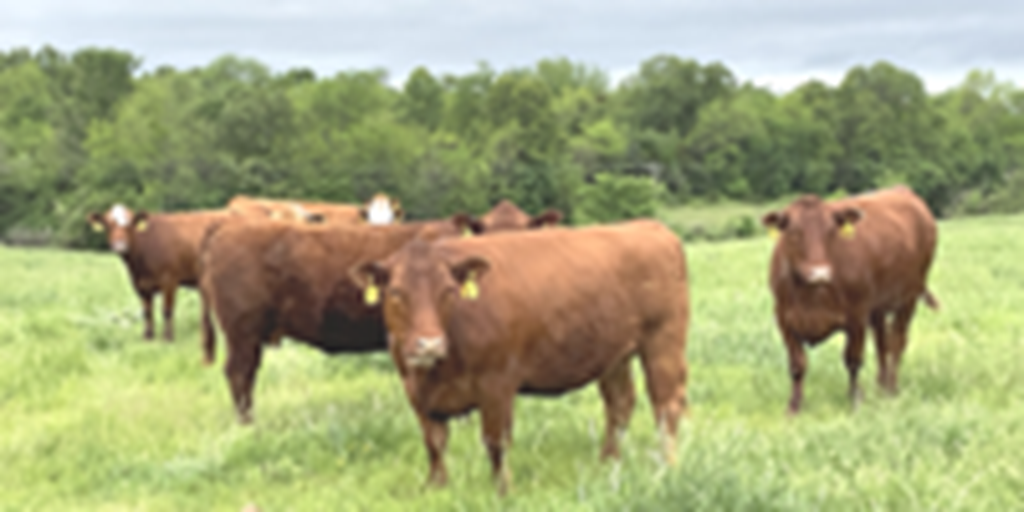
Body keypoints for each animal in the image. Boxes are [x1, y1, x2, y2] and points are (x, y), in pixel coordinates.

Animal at [87, 204, 230, 341]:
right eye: (108, 225)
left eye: (130, 225)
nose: (120, 246)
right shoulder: (140, 285)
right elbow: (147, 312)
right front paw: (148, 336)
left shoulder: (169, 281)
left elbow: (167, 310)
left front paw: (168, 337)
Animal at [350, 220, 689, 494]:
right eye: (395, 292)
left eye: (448, 291)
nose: (429, 345)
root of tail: (649, 227)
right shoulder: (415, 390)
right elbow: (434, 442)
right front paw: (436, 487)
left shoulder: (497, 383)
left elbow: (495, 441)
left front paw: (502, 491)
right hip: (614, 354)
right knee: (620, 404)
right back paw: (607, 463)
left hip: (664, 341)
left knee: (666, 405)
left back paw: (668, 467)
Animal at [761, 185, 938, 415]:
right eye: (793, 233)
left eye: (831, 232)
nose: (820, 273)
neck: (811, 294)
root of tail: (902, 189)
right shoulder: (784, 318)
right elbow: (797, 365)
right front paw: (794, 406)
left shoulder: (857, 316)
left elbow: (853, 360)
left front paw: (855, 400)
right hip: (879, 308)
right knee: (882, 343)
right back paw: (880, 386)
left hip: (909, 297)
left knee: (897, 341)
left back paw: (891, 388)